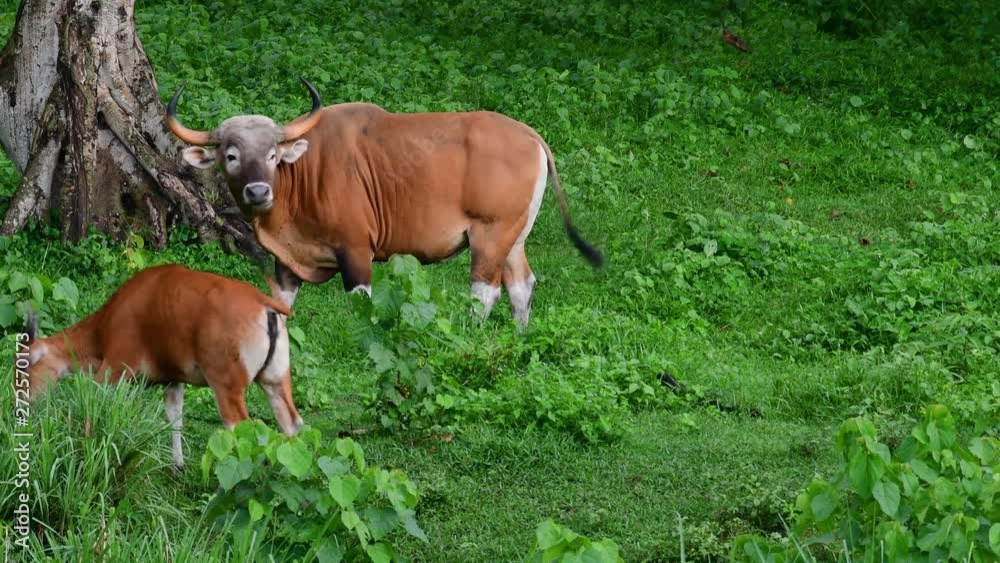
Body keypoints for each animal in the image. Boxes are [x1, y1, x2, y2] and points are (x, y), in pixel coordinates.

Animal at [18, 264, 302, 470]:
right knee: (292, 425)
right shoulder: (174, 380)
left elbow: (92, 406)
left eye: (25, 365)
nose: (20, 404)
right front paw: (177, 464)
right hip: (275, 380)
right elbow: (174, 417)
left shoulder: (113, 368)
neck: (105, 326)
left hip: (227, 386)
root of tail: (264, 303)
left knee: (241, 430)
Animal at [165, 78, 603, 328]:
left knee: (485, 292)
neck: (302, 177)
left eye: (273, 154)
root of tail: (530, 135)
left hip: (489, 234)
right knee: (521, 285)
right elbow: (279, 306)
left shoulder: (356, 251)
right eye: (231, 155)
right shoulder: (287, 261)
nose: (258, 192)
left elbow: (362, 306)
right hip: (514, 235)